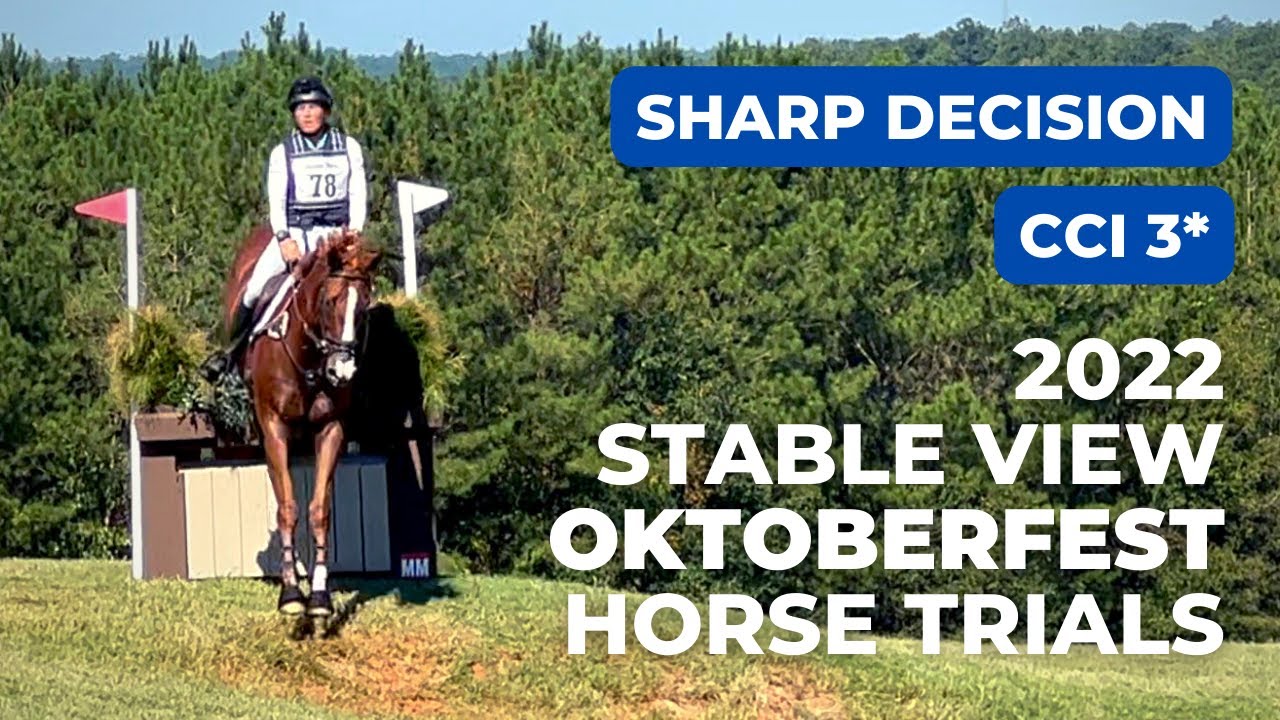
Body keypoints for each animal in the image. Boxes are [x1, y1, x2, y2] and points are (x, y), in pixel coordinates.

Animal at [219, 224, 381, 617]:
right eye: (330, 301)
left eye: (363, 308)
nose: (342, 371)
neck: (307, 360)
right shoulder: (274, 429)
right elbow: (288, 507)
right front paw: (291, 592)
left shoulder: (331, 430)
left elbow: (320, 509)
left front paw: (319, 593)